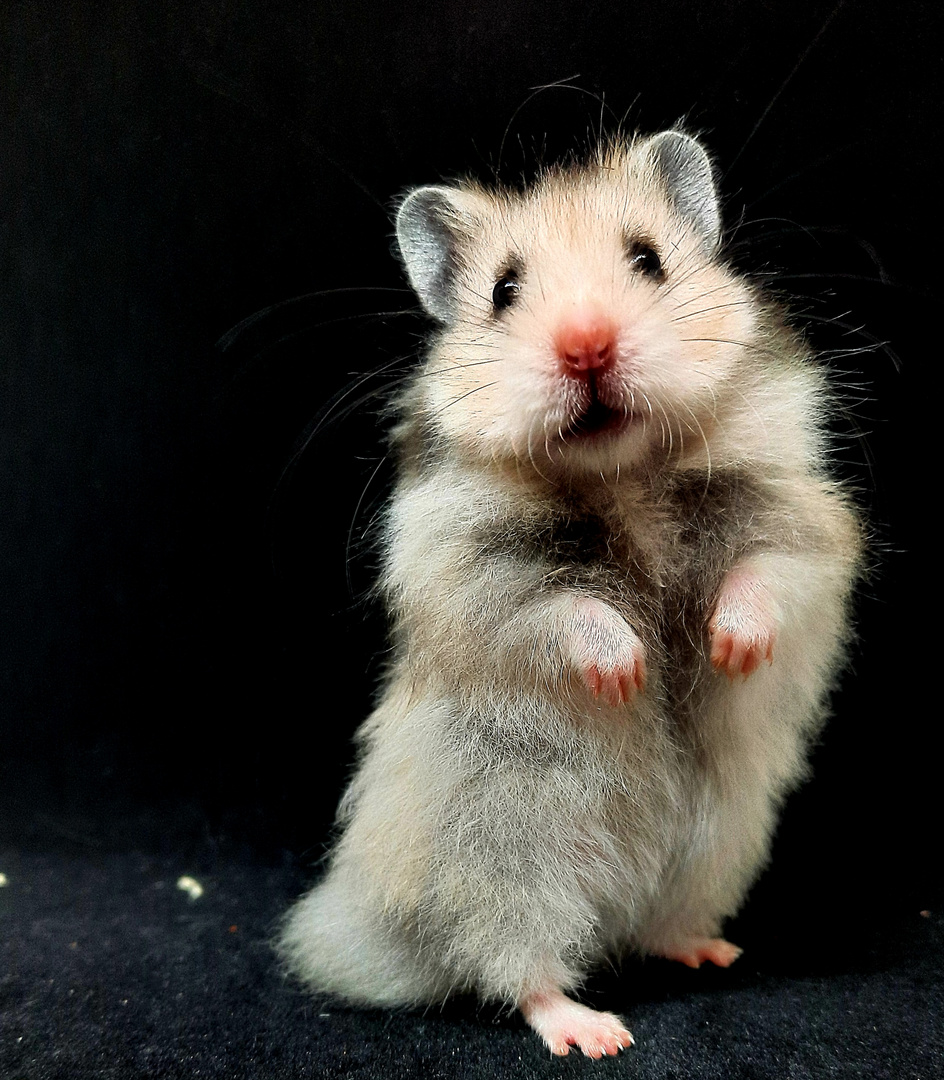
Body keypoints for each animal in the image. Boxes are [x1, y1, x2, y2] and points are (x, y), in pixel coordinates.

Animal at [278, 131, 863, 1058]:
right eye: (503, 291)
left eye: (648, 258)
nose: (586, 345)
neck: (621, 469)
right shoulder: (470, 574)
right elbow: (562, 609)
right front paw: (628, 674)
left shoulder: (801, 517)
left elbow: (767, 570)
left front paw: (731, 648)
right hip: (505, 851)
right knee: (515, 962)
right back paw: (592, 1030)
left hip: (722, 833)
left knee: (654, 922)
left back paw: (709, 950)